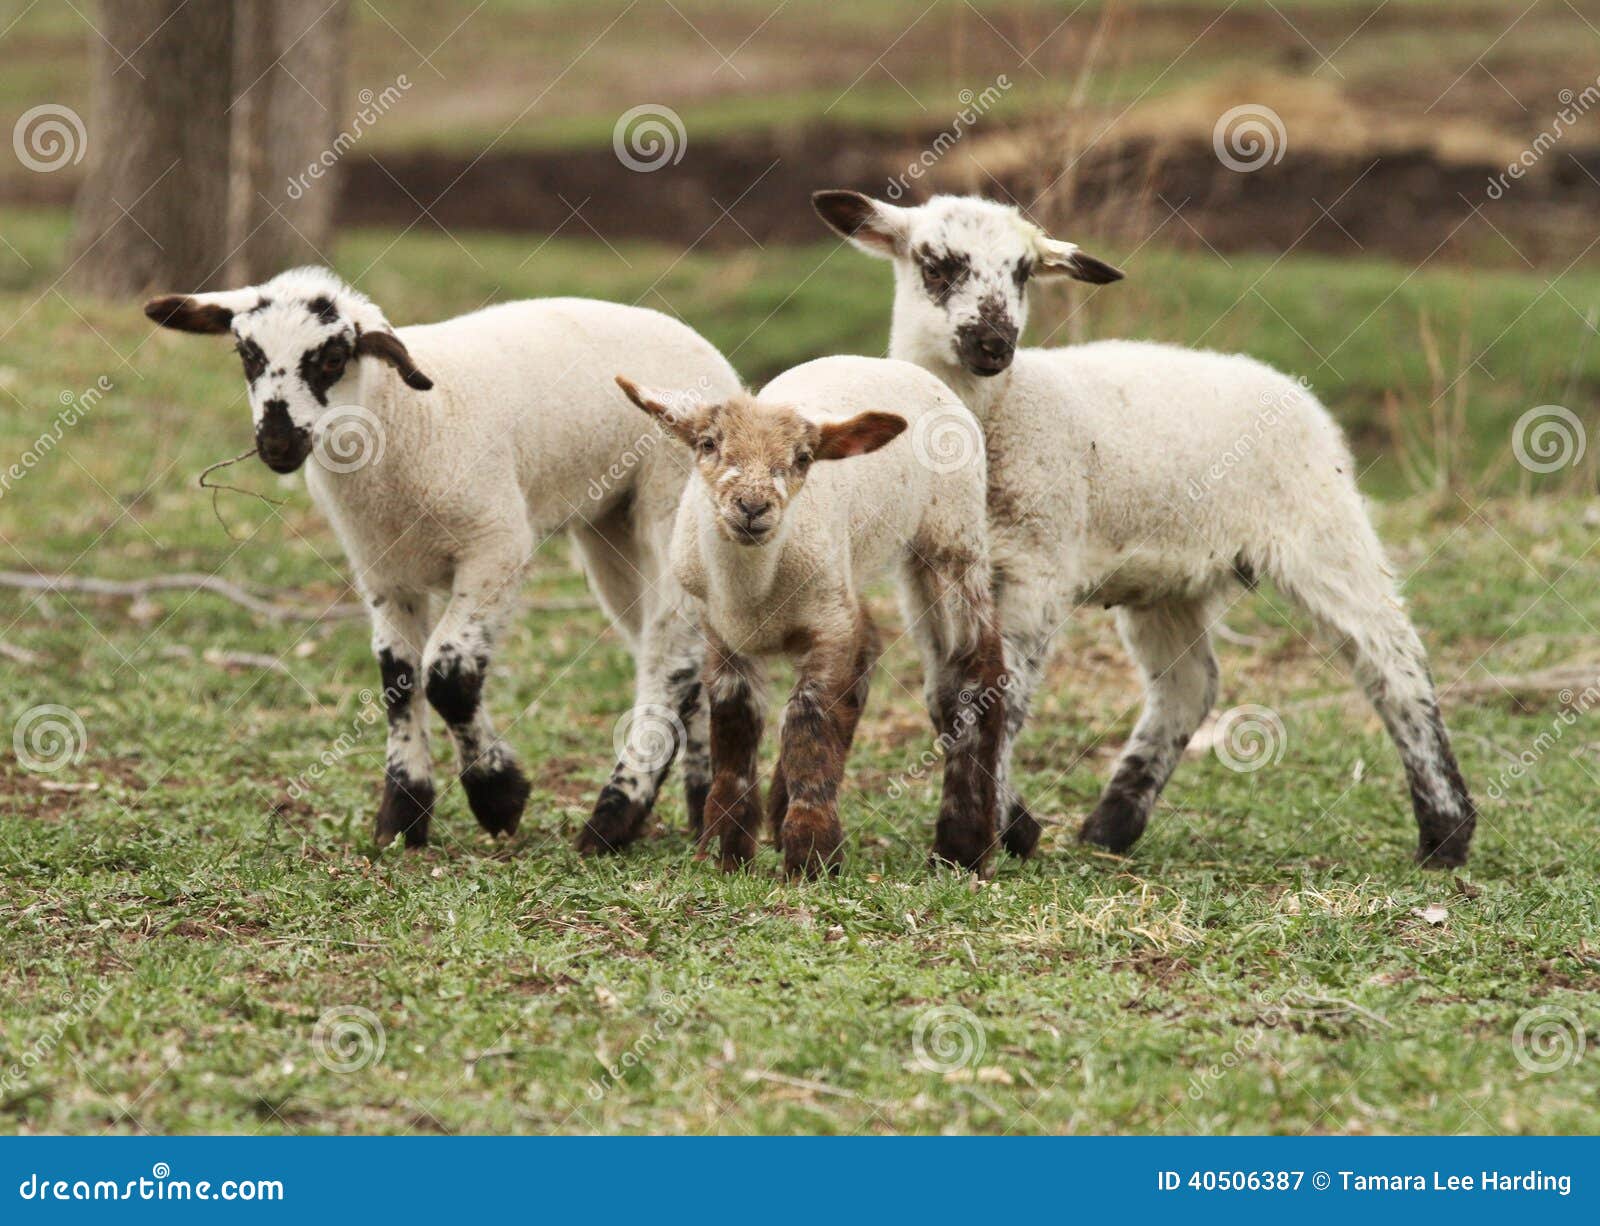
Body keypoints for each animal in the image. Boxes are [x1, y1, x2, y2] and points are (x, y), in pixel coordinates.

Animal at [144, 265, 743, 851]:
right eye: (246, 353)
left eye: (333, 358)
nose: (277, 443)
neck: (404, 414)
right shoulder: (382, 569)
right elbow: (397, 676)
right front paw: (403, 814)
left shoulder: (496, 545)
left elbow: (449, 677)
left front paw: (497, 795)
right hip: (610, 526)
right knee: (684, 657)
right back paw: (698, 809)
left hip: (671, 500)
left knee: (670, 655)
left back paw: (614, 816)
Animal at [615, 354, 1007, 878]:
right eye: (708, 444)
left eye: (802, 458)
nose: (753, 506)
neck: (753, 591)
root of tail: (892, 363)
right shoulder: (722, 634)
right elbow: (735, 722)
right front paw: (728, 848)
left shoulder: (828, 624)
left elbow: (808, 719)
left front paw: (810, 853)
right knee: (869, 651)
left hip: (951, 536)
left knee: (973, 672)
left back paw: (962, 846)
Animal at [811, 190, 1477, 868]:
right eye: (936, 264)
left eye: (1023, 273)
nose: (995, 344)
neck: (995, 415)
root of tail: (1292, 389)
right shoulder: (927, 575)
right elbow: (946, 697)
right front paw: (1014, 825)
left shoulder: (1039, 565)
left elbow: (1002, 695)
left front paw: (989, 830)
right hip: (1168, 579)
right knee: (1189, 685)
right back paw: (1112, 824)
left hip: (1320, 528)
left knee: (1393, 658)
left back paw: (1446, 832)